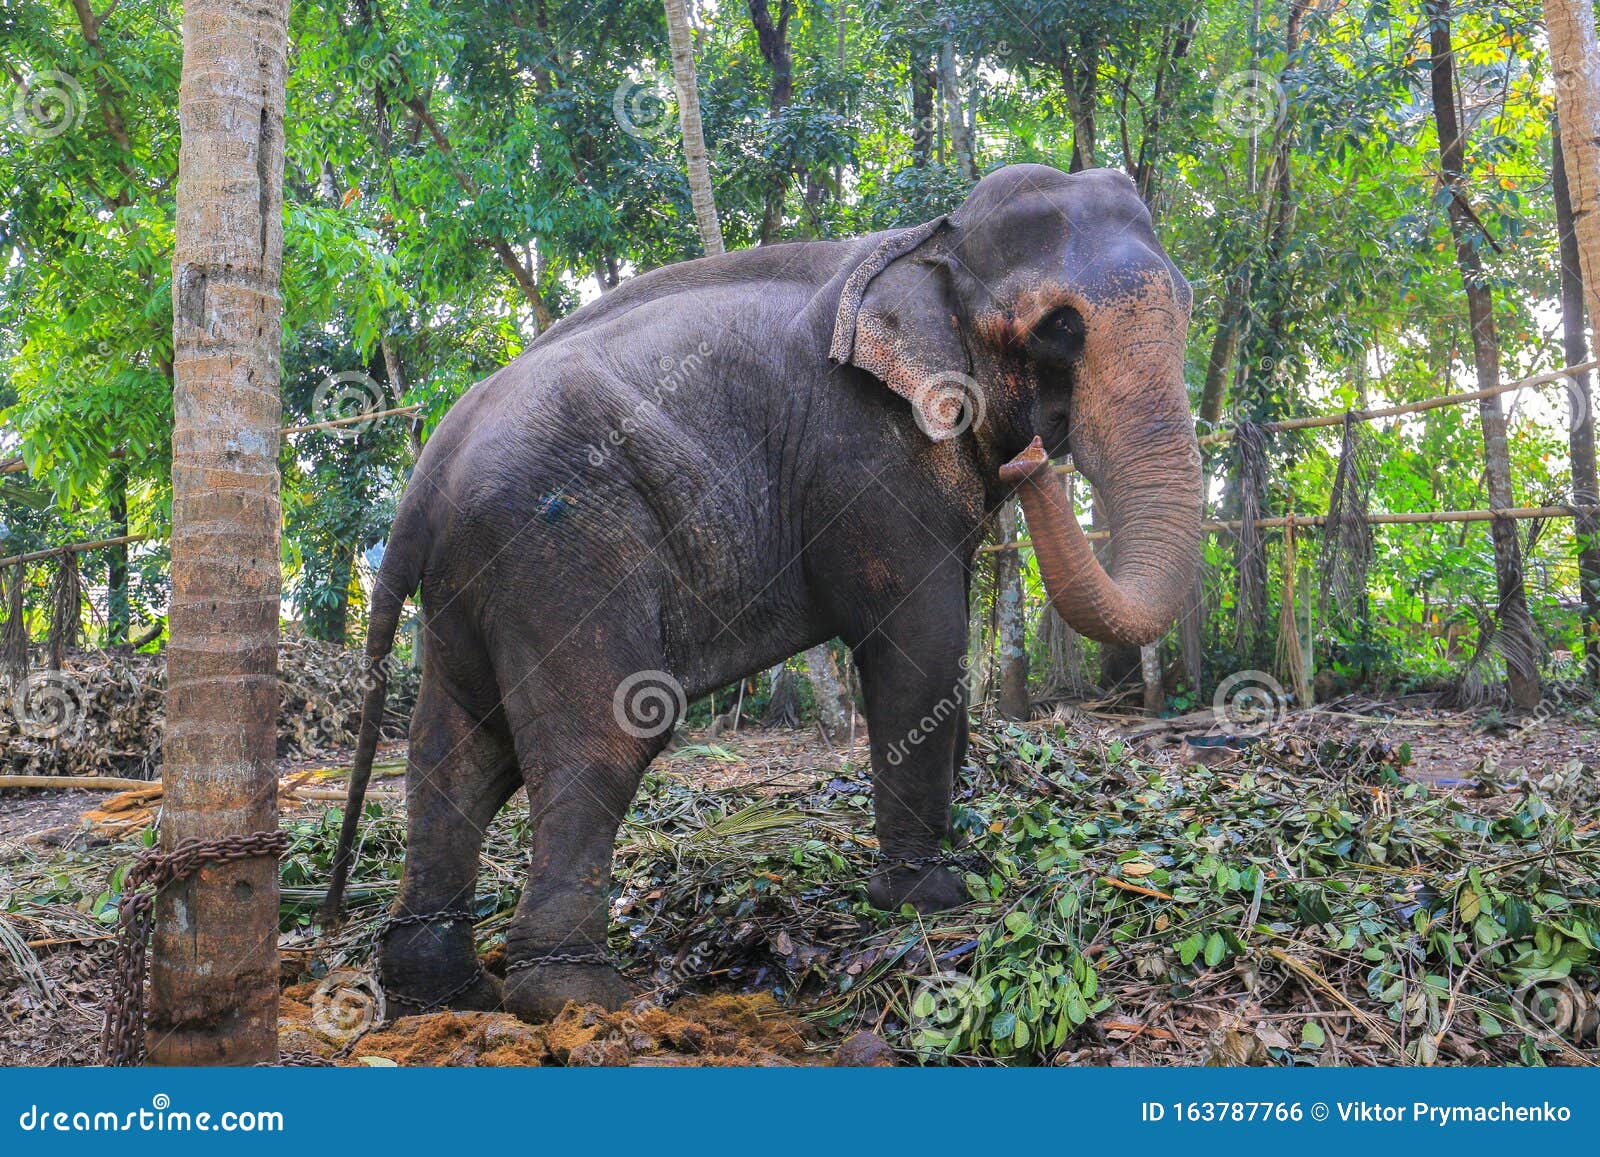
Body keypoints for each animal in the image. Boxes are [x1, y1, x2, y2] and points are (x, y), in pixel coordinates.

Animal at [322, 162, 1201, 1020]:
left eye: (1189, 303)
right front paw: (929, 897)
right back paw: (576, 1001)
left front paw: (965, 851)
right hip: (559, 549)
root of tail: (423, 477)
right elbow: (919, 647)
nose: (1030, 461)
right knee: (602, 739)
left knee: (460, 752)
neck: (930, 240)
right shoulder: (863, 450)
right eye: (1059, 327)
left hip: (471, 581)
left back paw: (445, 993)